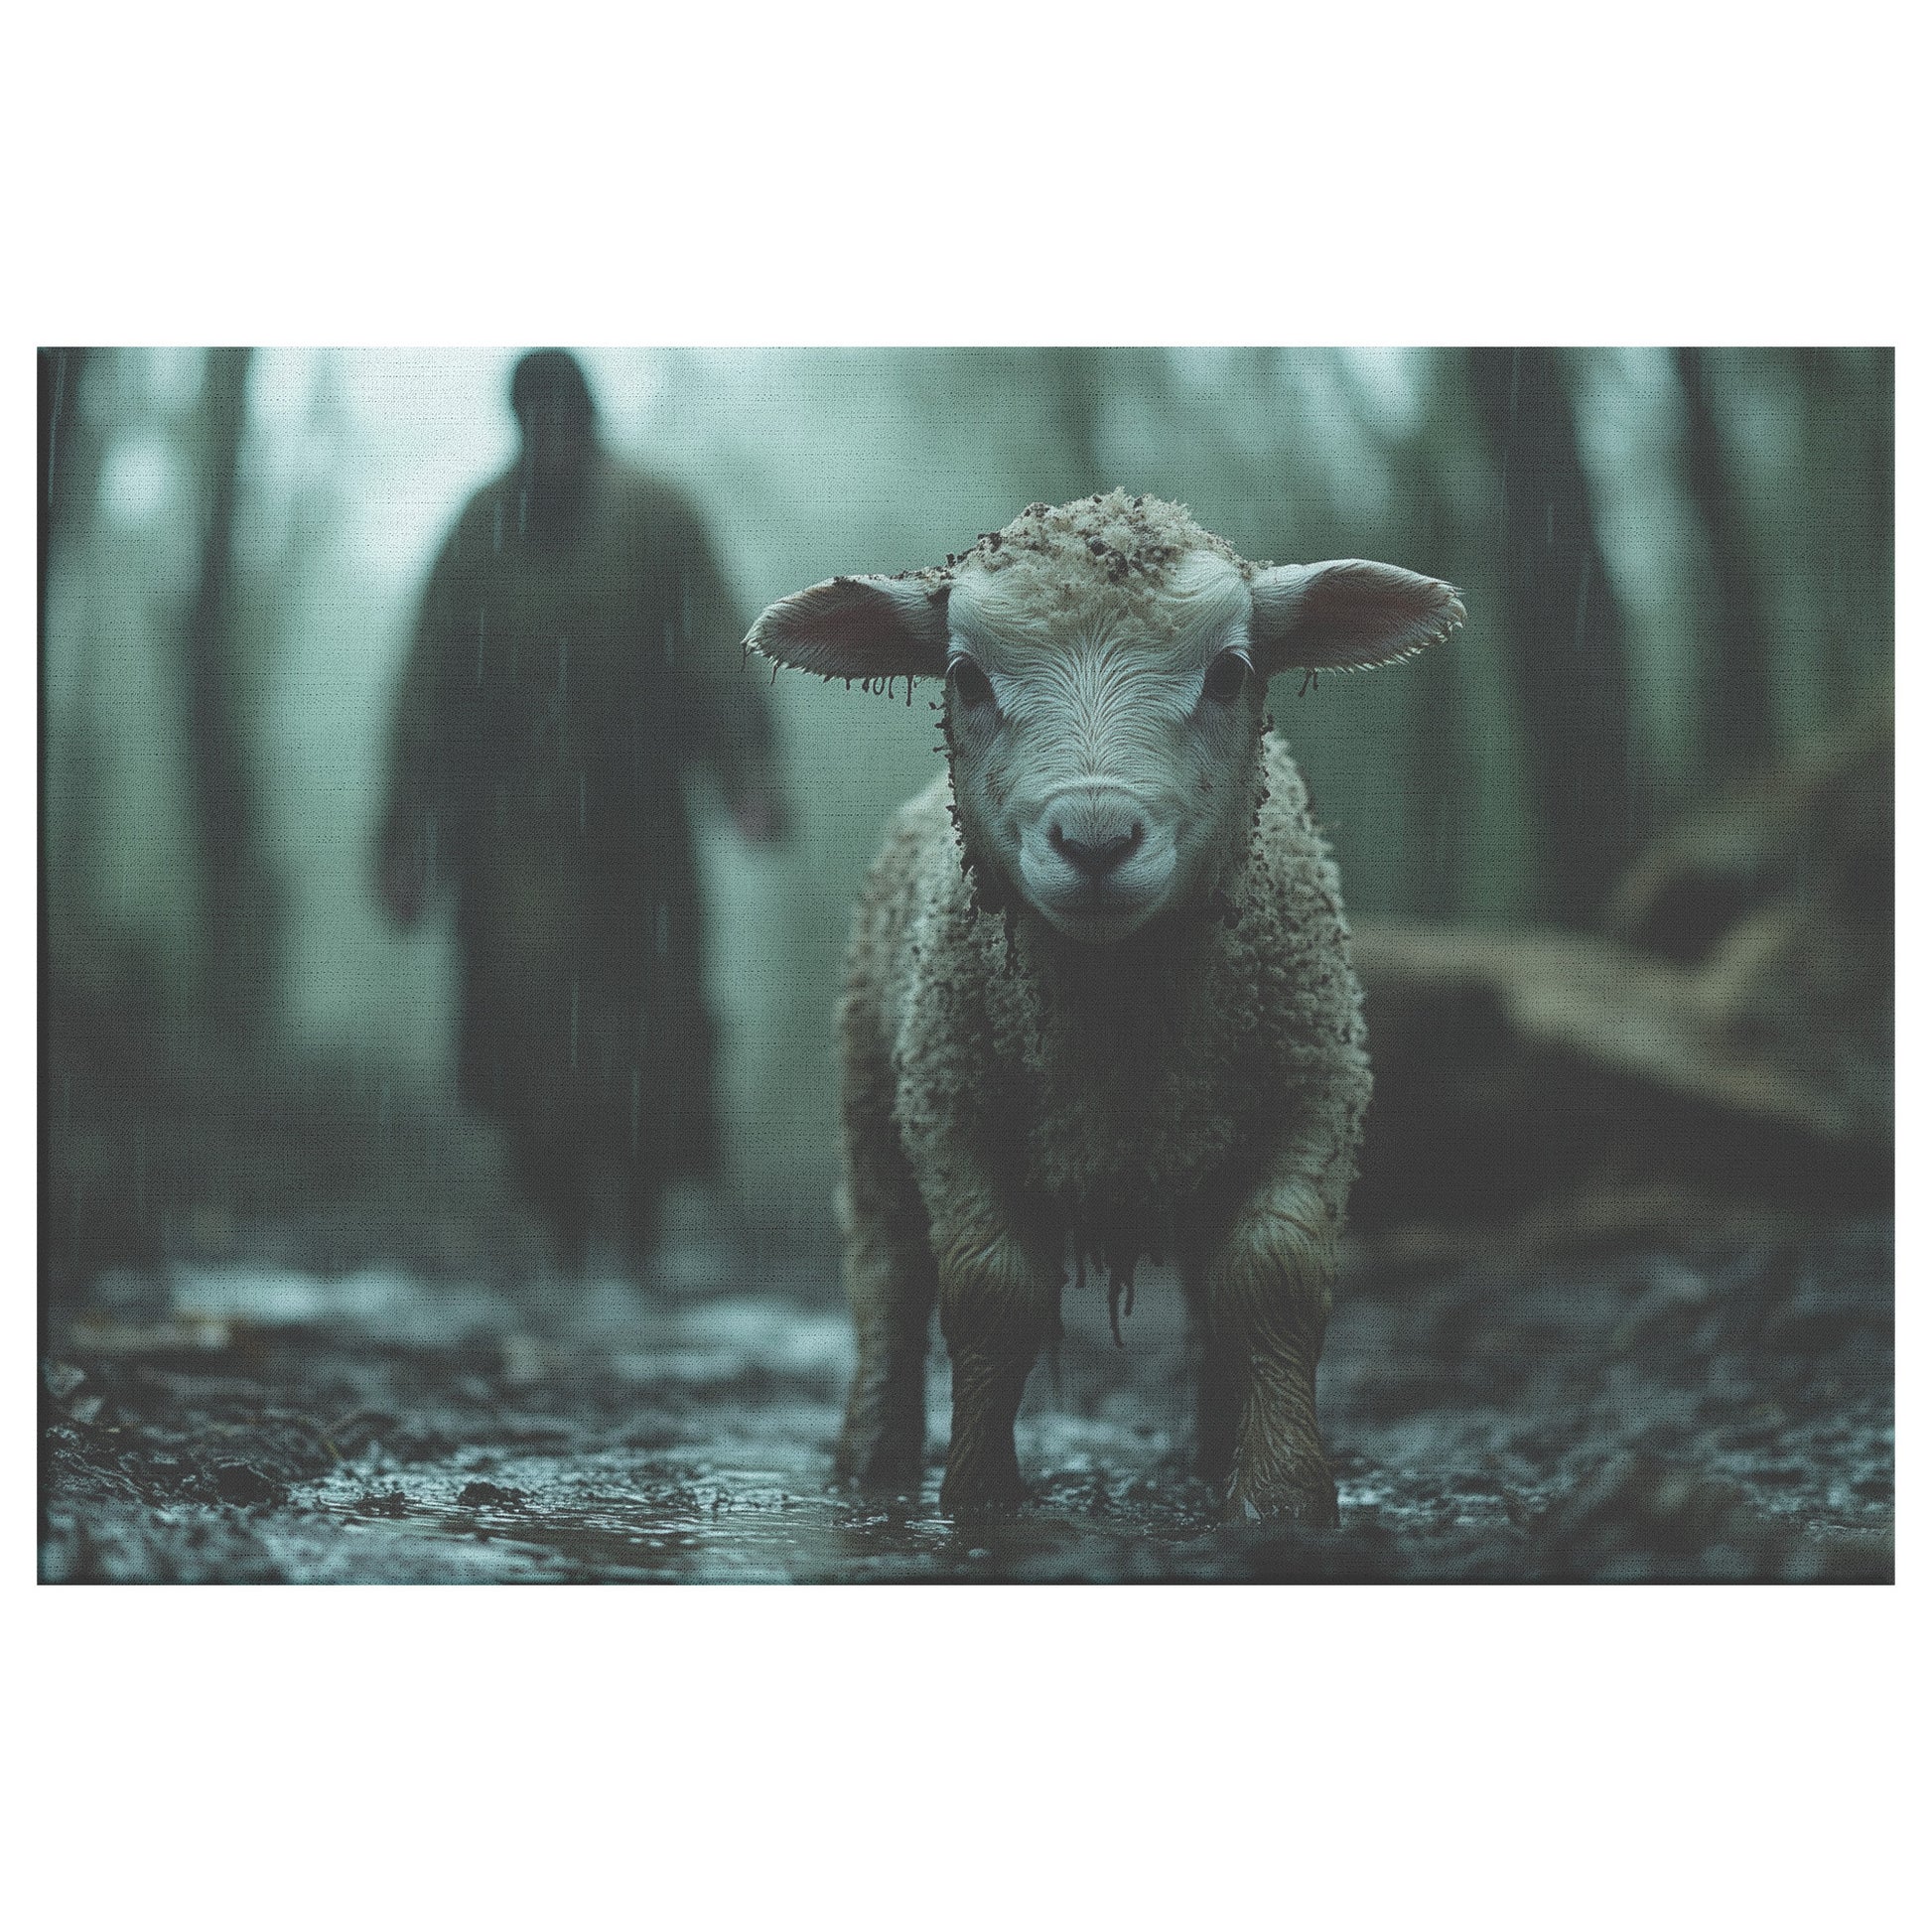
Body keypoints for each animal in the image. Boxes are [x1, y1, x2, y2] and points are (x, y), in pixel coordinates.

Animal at [747, 491, 1463, 1522]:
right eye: (964, 677)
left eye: (1231, 672)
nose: (1094, 840)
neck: (1119, 1023)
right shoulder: (954, 1114)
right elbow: (990, 1294)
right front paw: (977, 1498)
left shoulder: (1312, 1099)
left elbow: (1271, 1281)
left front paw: (1281, 1494)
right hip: (872, 1110)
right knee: (886, 1277)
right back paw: (873, 1460)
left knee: (1210, 1294)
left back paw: (1214, 1450)